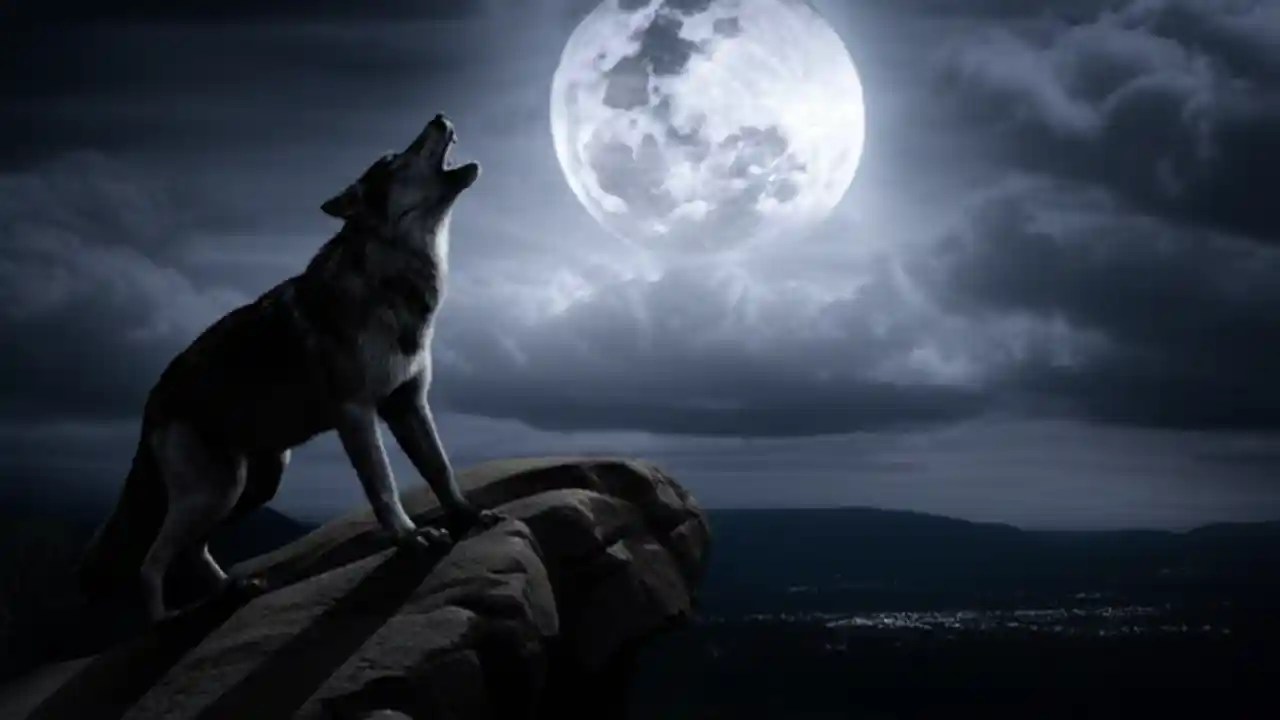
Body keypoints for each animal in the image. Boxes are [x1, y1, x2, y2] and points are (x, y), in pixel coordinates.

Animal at [77, 114, 500, 622]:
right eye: (396, 158)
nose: (438, 117)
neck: (393, 283)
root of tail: (150, 401)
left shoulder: (408, 405)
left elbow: (441, 469)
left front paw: (466, 516)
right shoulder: (357, 413)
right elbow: (383, 486)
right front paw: (410, 536)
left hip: (251, 486)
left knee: (192, 550)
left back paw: (235, 590)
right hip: (217, 491)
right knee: (152, 560)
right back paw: (164, 621)